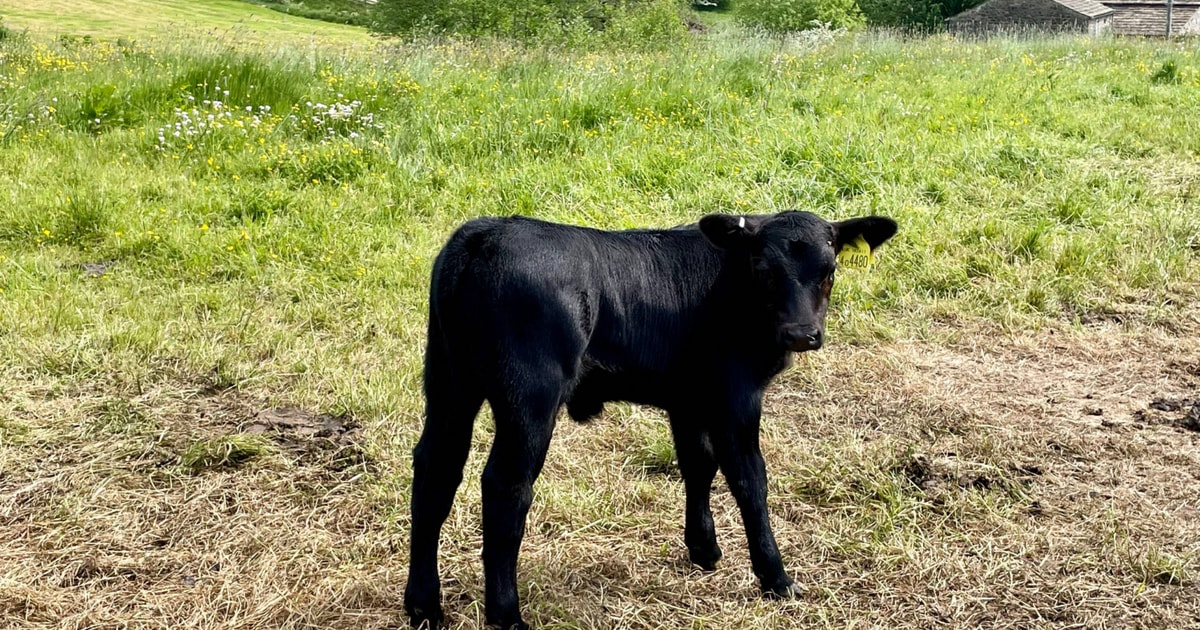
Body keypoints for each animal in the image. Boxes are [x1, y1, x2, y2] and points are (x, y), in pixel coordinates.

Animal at [404, 211, 898, 629]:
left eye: (829, 270)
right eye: (763, 270)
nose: (801, 334)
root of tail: (487, 231)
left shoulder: (688, 398)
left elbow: (698, 464)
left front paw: (703, 548)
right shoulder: (736, 395)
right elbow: (748, 479)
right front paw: (775, 577)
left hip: (449, 380)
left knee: (436, 472)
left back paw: (423, 605)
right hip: (529, 395)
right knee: (506, 487)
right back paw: (506, 615)